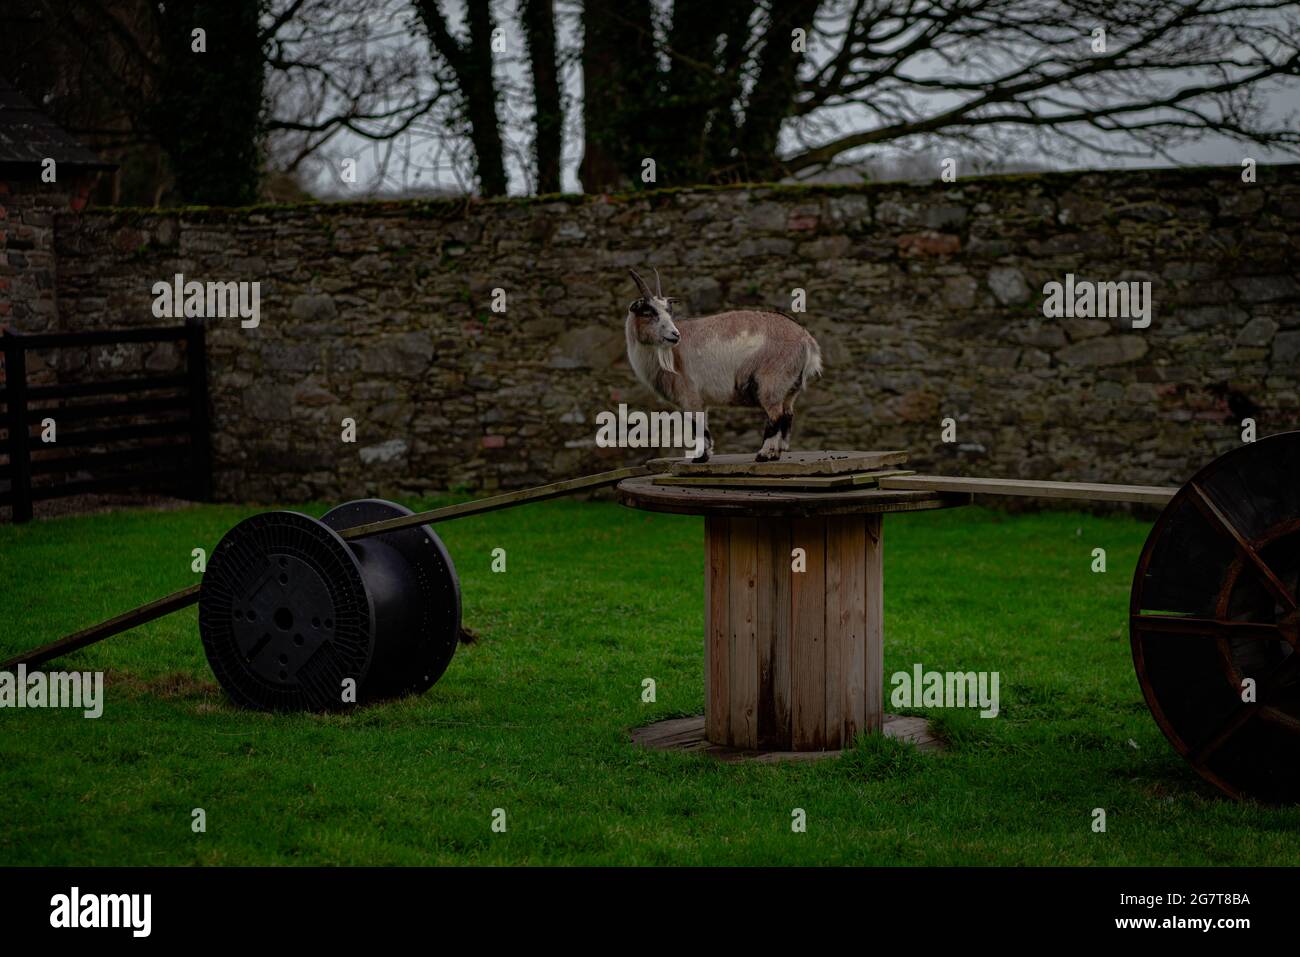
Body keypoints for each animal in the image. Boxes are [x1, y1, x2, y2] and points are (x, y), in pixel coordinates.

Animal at [623, 268, 822, 462]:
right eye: (648, 313)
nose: (674, 335)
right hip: (789, 387)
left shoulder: (690, 395)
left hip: (771, 382)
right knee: (787, 415)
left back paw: (764, 454)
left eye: (668, 312)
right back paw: (777, 452)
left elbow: (698, 426)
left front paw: (700, 457)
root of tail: (805, 338)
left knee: (776, 416)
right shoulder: (701, 399)